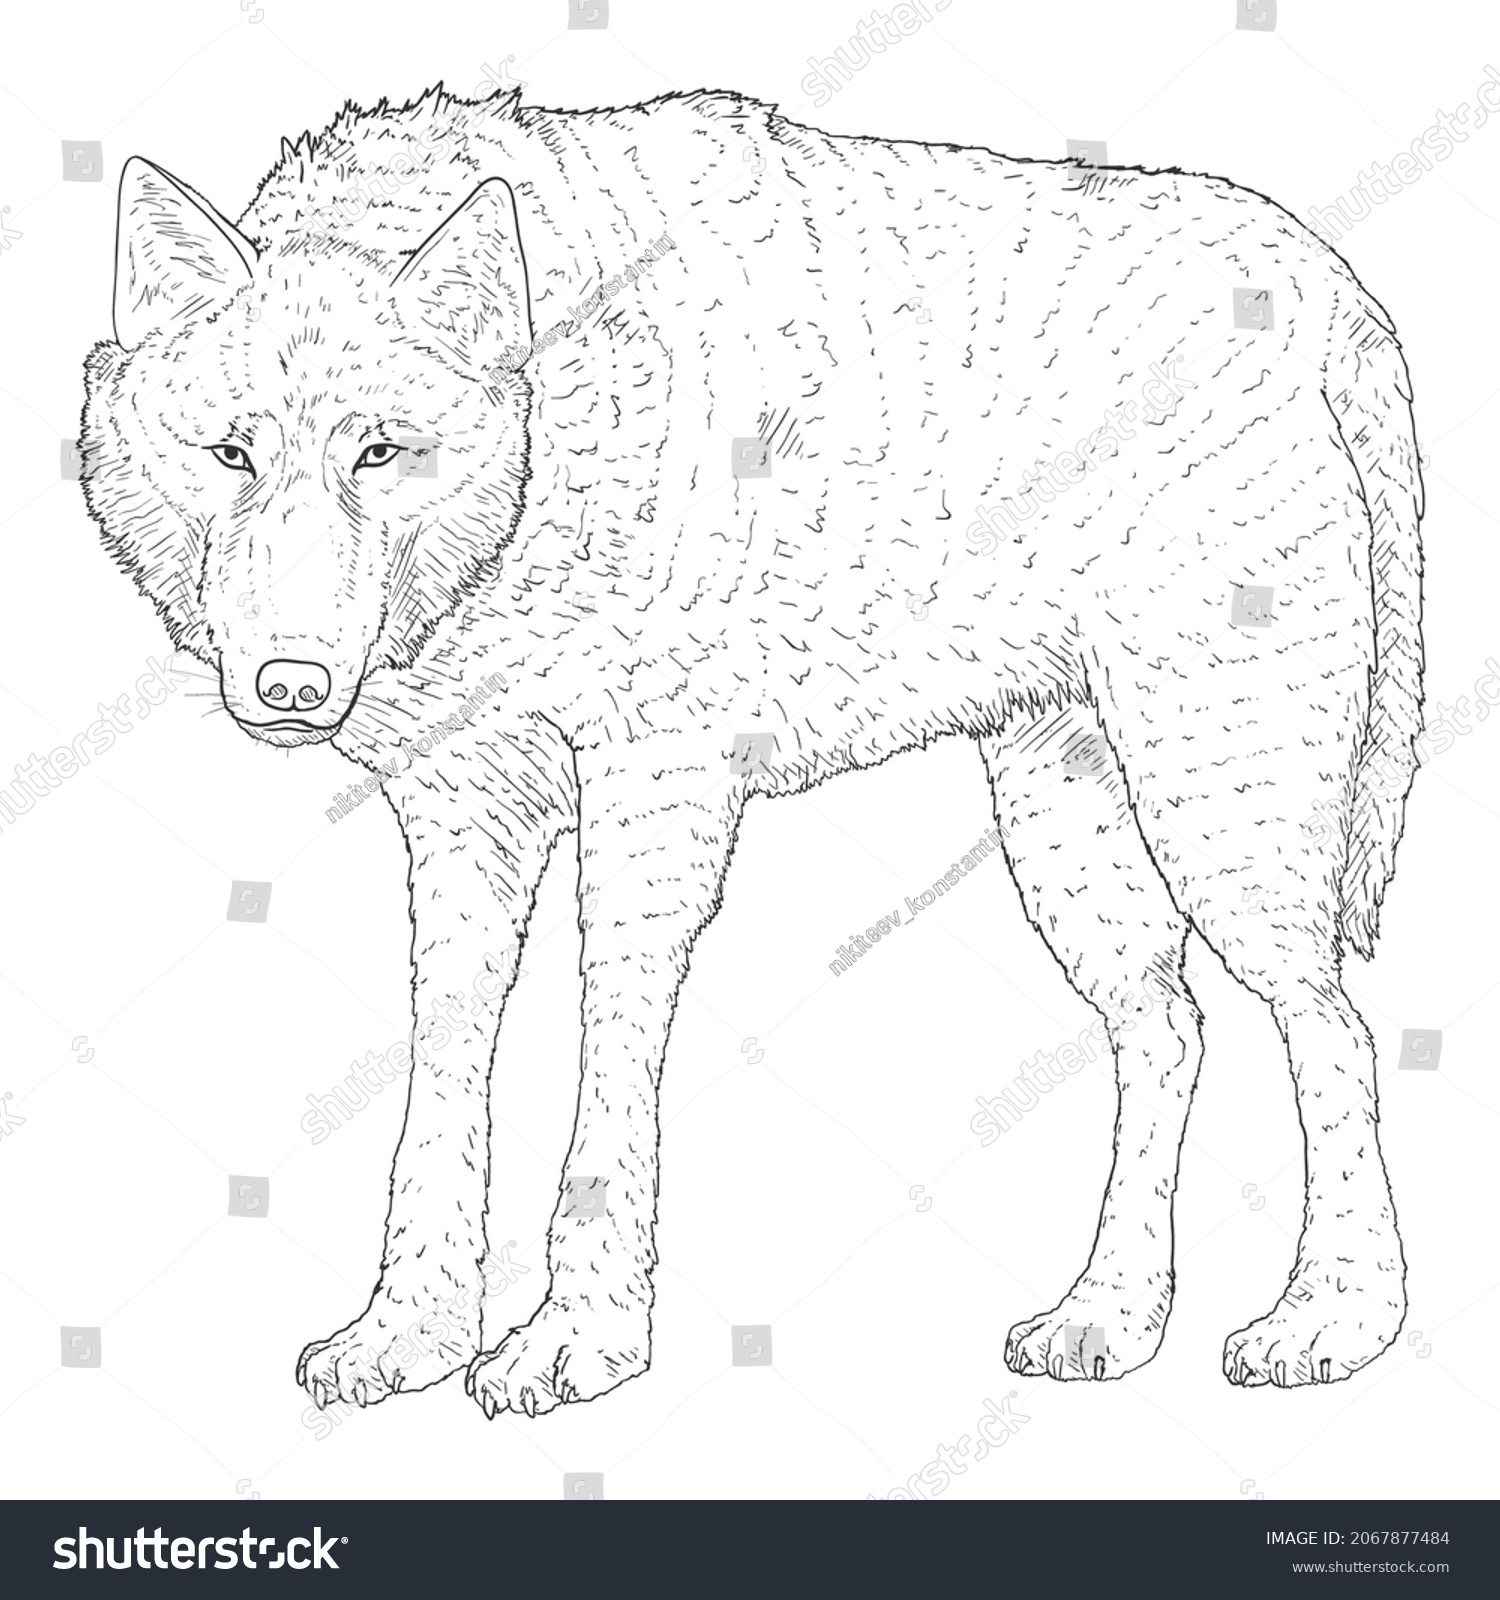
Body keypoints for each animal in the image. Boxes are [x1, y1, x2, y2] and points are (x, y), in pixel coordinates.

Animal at [79, 84, 1423, 1413]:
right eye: (231, 454)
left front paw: (576, 1340)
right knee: (1168, 1030)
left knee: (1332, 1032)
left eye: (379, 451)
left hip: (1220, 804)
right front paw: (409, 1332)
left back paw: (1336, 1320)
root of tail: (1329, 284)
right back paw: (1113, 1317)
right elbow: (442, 1080)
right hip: (1069, 816)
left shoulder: (651, 794)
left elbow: (607, 1071)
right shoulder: (461, 815)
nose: (290, 687)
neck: (556, 413)